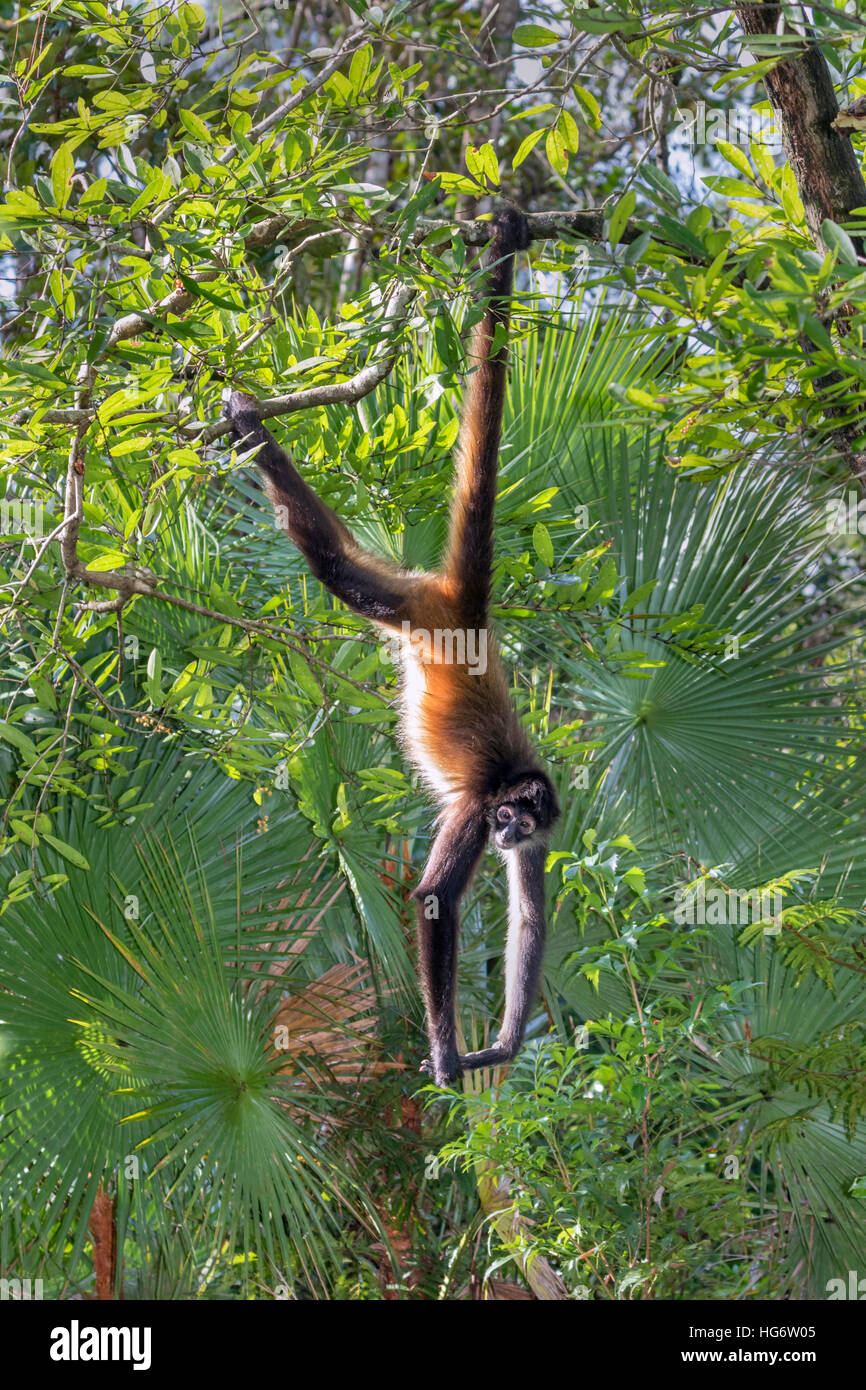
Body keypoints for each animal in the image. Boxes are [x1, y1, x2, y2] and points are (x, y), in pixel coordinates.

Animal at [225, 206, 560, 1086]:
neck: (511, 779)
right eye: (505, 813)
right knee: (333, 563)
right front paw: (444, 1047)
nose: (508, 833)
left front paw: (503, 1043)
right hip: (406, 601)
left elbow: (529, 915)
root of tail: (468, 610)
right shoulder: (472, 807)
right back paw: (254, 433)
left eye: (526, 822)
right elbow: (435, 902)